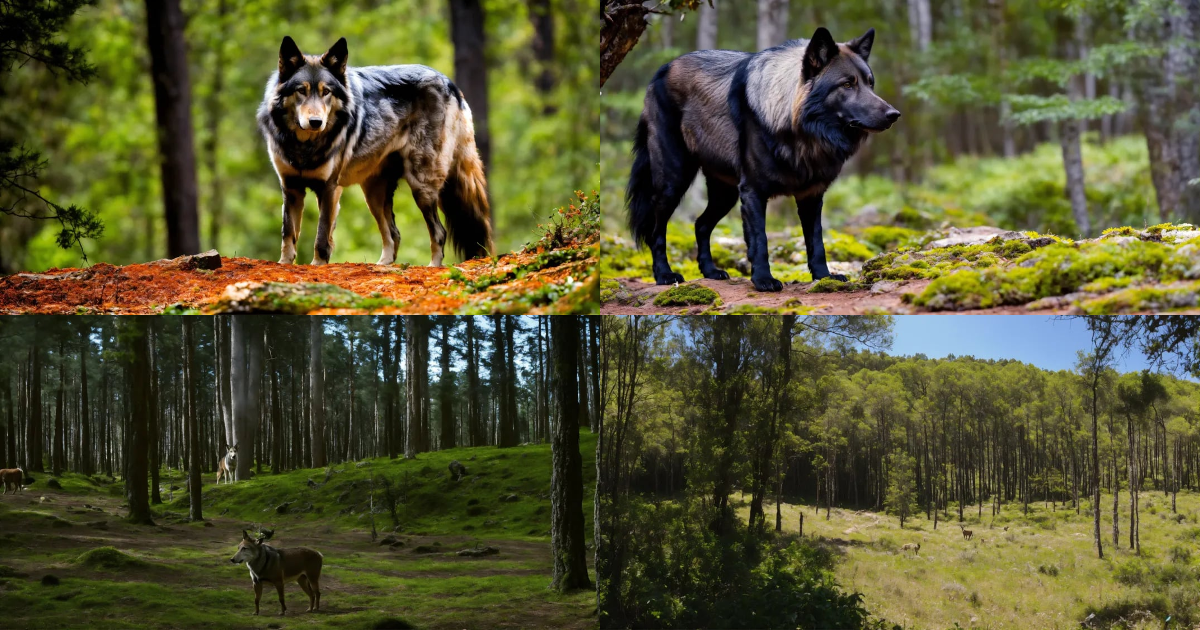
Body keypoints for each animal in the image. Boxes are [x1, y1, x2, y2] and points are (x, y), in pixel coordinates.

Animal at [258, 36, 493, 267]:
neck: (304, 146)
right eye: (301, 91)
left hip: (421, 187)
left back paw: (433, 267)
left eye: (326, 92)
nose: (316, 122)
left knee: (439, 232)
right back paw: (383, 265)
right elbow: (288, 234)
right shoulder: (291, 188)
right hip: (374, 194)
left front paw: (317, 266)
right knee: (394, 235)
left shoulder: (329, 188)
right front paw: (283, 264)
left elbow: (321, 237)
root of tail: (450, 83)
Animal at [627, 27, 899, 291]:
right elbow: (761, 240)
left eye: (870, 84)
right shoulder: (753, 193)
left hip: (725, 194)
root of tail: (662, 69)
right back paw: (664, 274)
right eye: (847, 84)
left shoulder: (811, 197)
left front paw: (824, 277)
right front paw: (763, 280)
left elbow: (816, 242)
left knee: (700, 224)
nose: (894, 114)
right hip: (674, 182)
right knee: (656, 230)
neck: (800, 132)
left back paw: (710, 271)